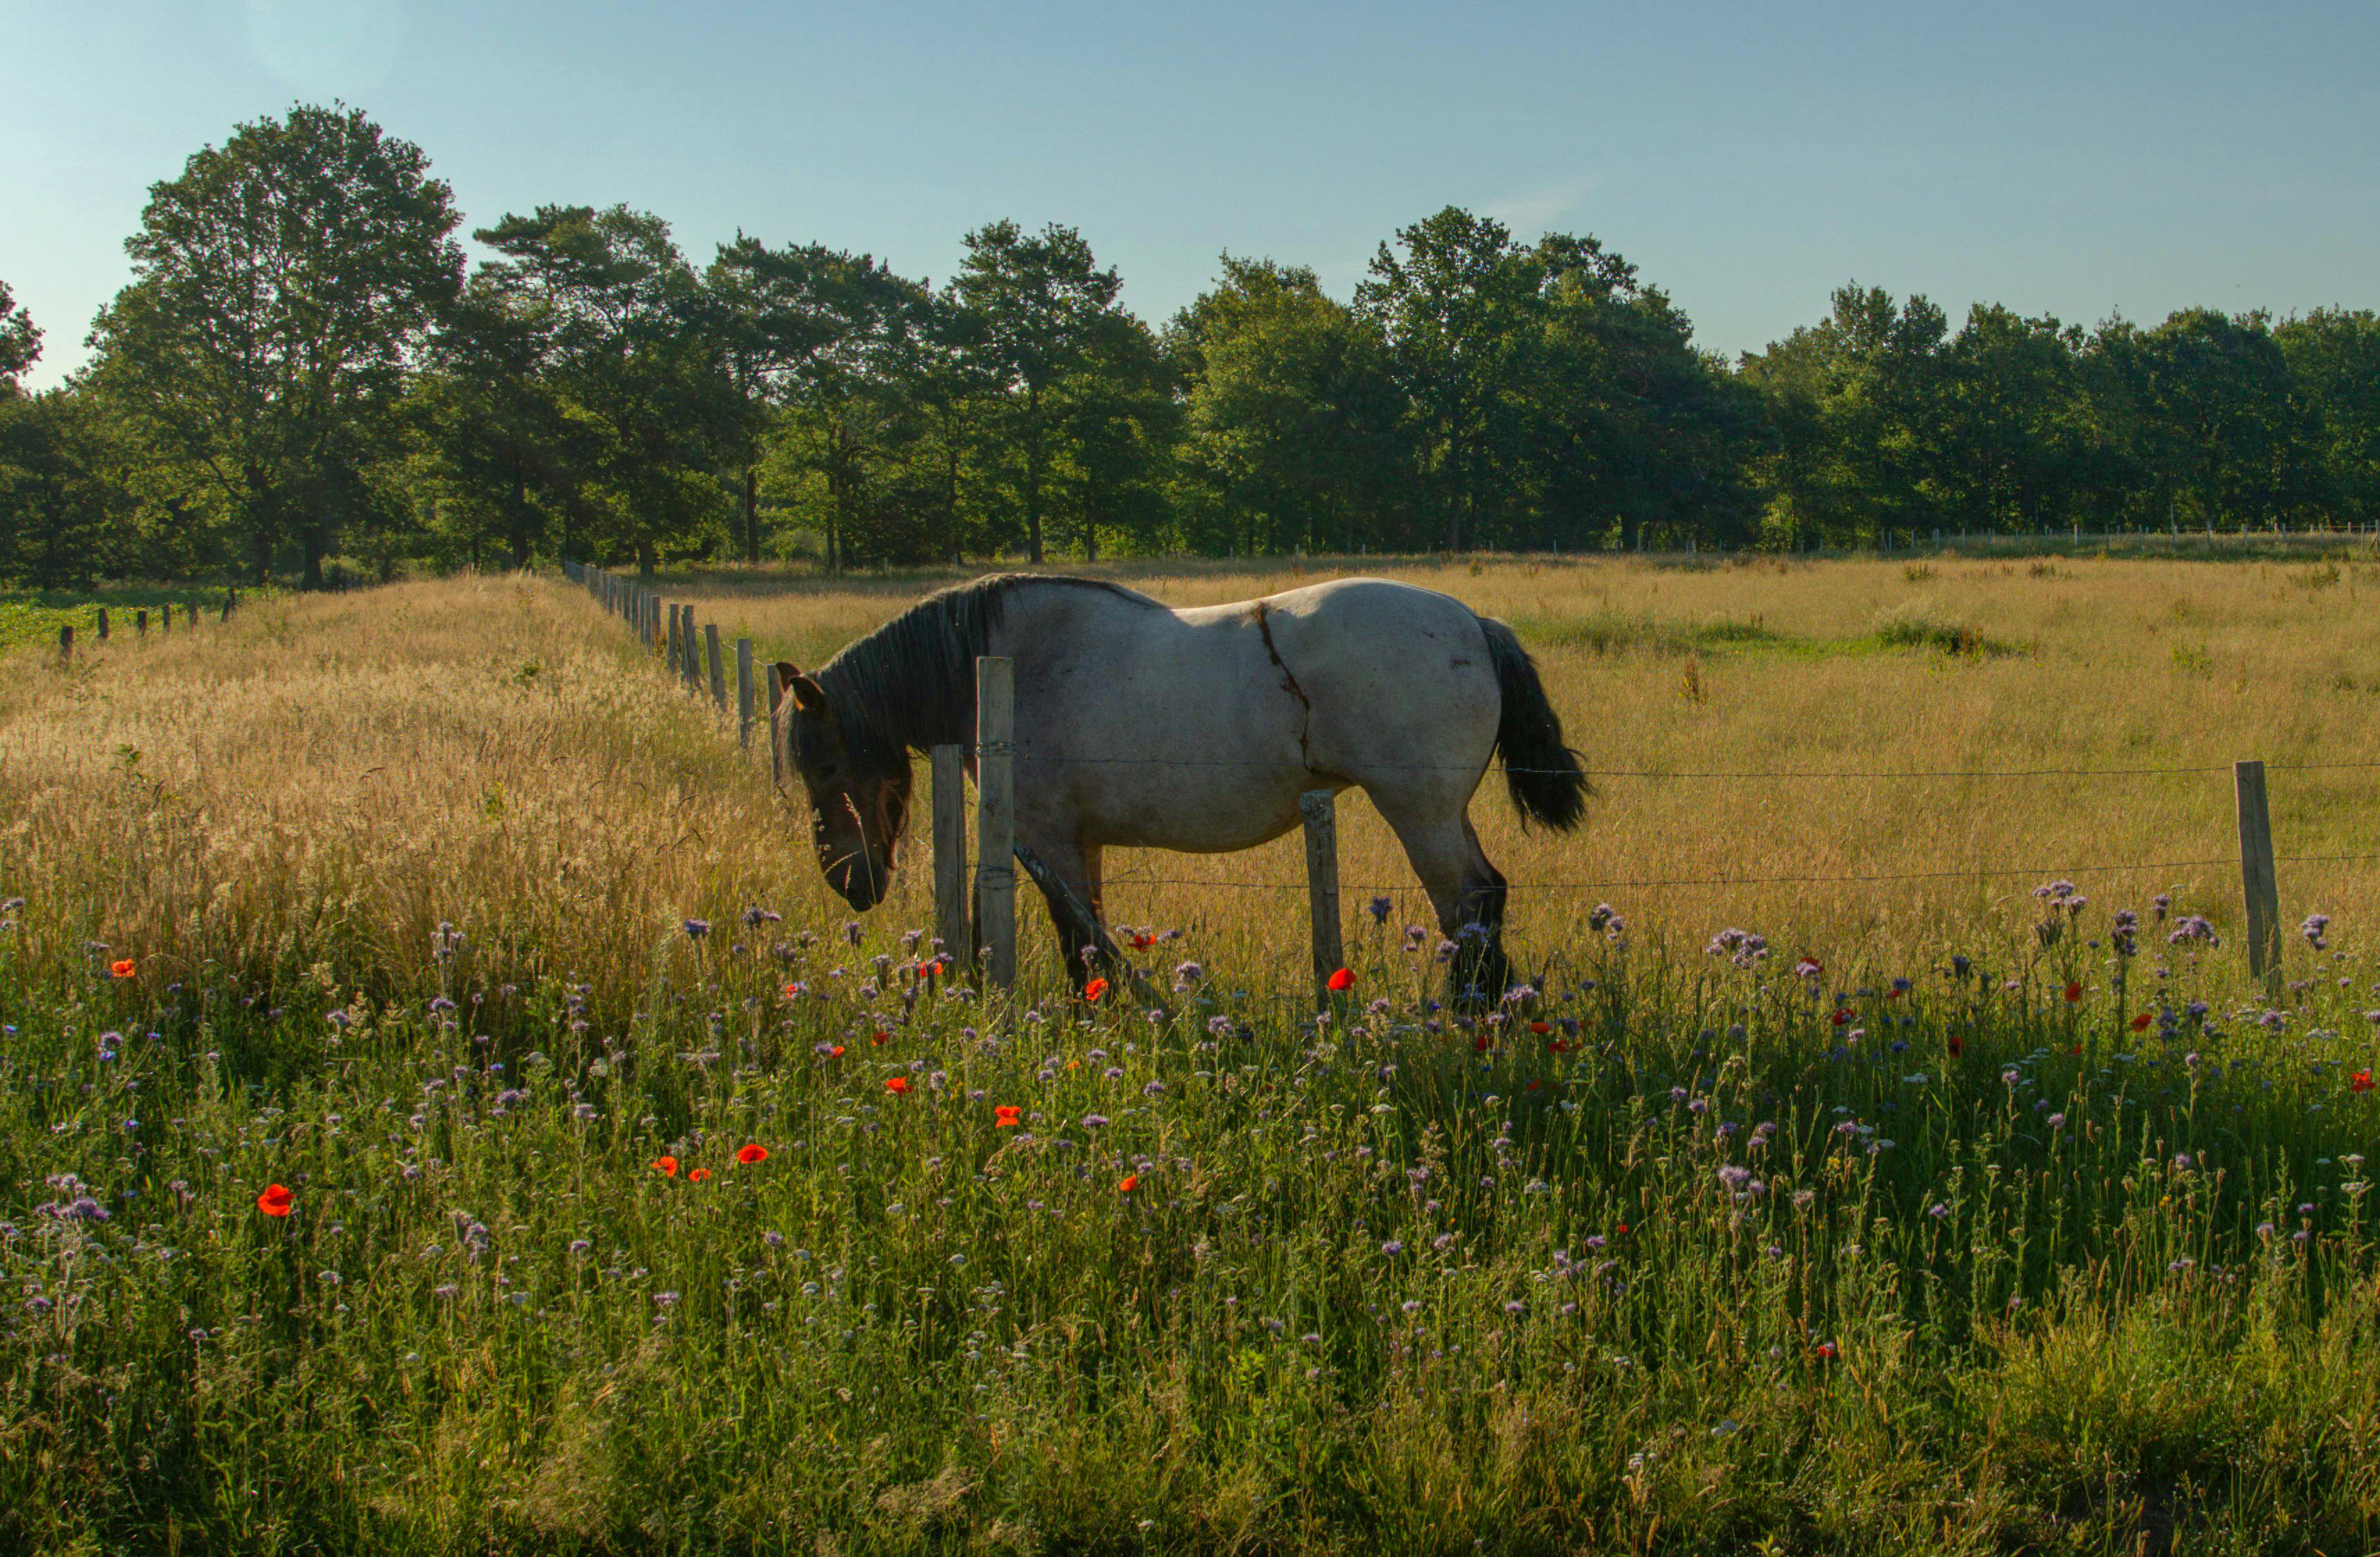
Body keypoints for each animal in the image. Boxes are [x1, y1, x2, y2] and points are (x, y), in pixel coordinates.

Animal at [773, 573, 1586, 1000]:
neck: (1006, 665)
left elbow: (1079, 943)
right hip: (1441, 815)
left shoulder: (1045, 841)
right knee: (1483, 900)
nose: (847, 882)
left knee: (1470, 904)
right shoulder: (1066, 845)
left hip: (1421, 814)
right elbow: (1082, 935)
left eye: (825, 767)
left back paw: (1469, 1015)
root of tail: (1474, 623)